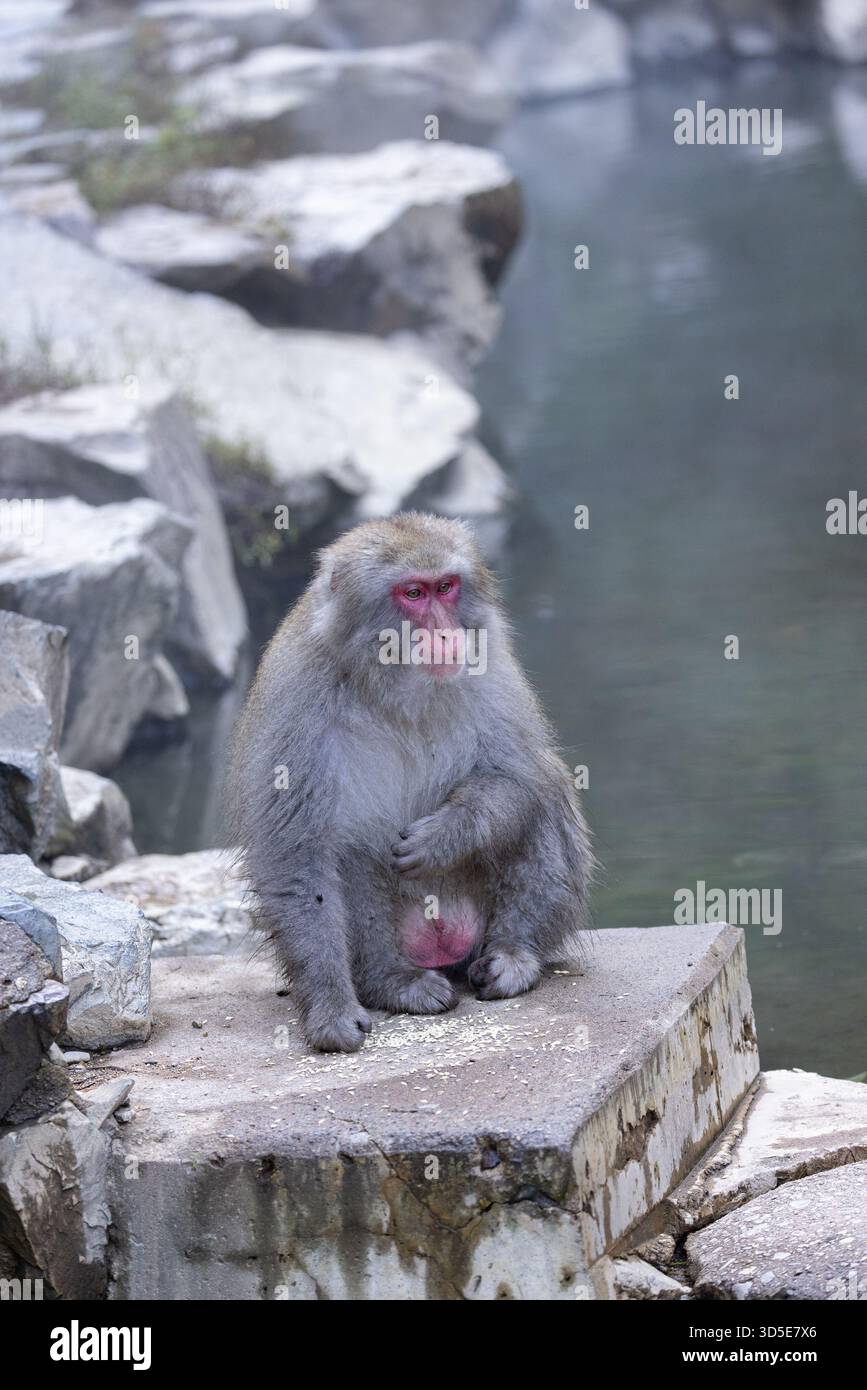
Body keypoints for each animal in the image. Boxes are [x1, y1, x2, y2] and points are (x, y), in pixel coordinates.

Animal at [228, 512, 592, 1053]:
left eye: (446, 587)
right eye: (413, 593)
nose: (444, 635)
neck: (393, 686)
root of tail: (445, 946)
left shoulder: (489, 659)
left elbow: (519, 775)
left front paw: (446, 835)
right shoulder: (296, 690)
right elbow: (297, 857)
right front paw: (330, 1006)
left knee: (544, 791)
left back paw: (514, 954)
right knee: (350, 849)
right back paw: (392, 982)